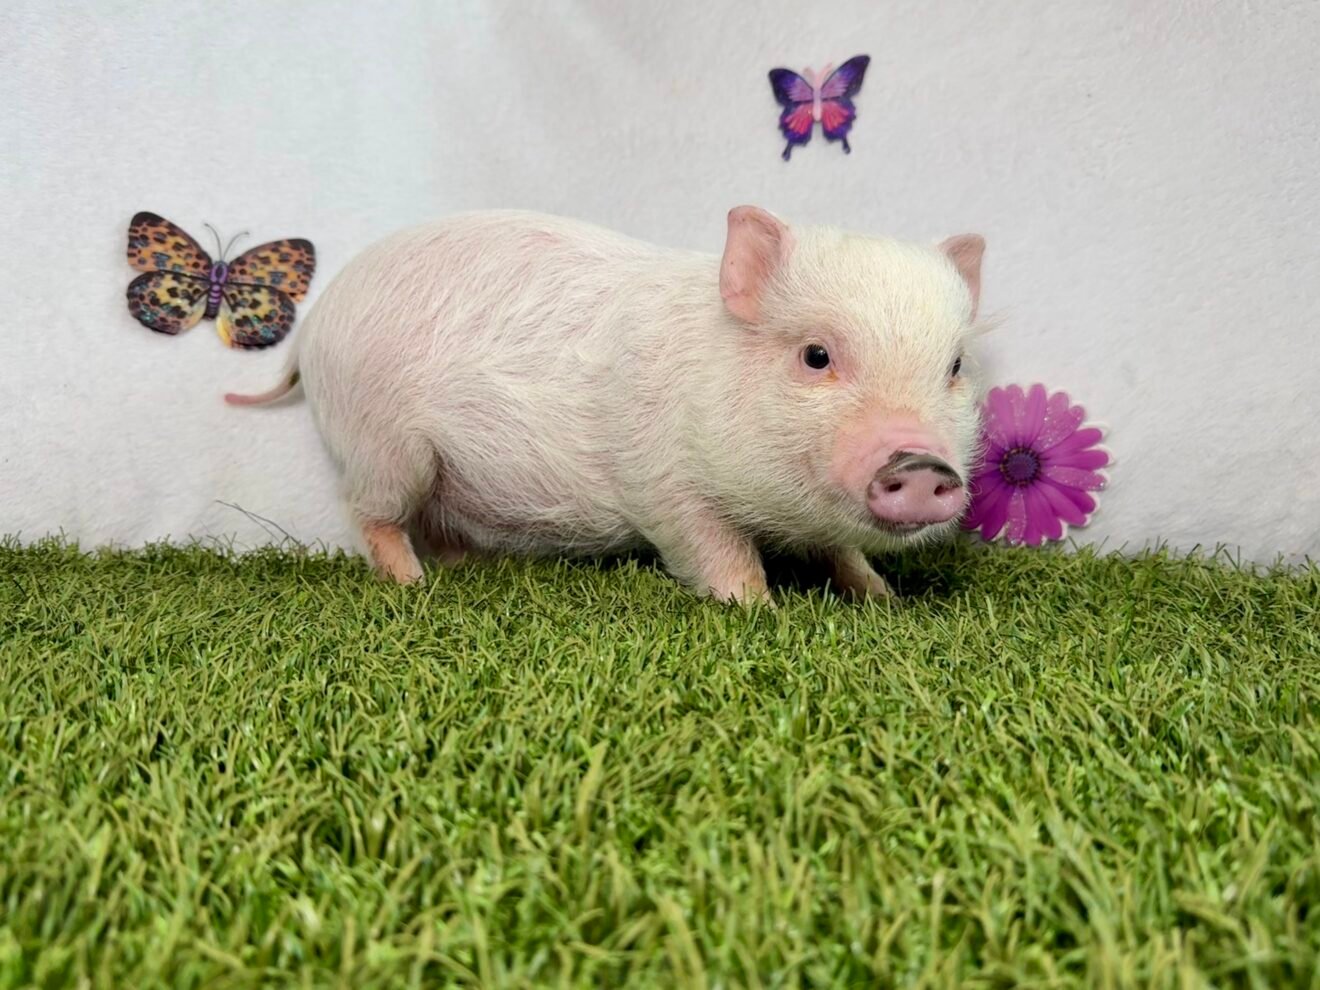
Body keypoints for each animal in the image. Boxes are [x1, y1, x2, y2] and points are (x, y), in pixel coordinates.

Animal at [225, 207, 986, 604]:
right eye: (817, 356)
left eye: (953, 367)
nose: (923, 465)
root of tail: (315, 326)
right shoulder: (664, 483)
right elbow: (717, 553)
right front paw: (761, 610)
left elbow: (844, 554)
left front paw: (884, 602)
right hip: (384, 444)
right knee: (368, 513)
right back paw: (415, 589)